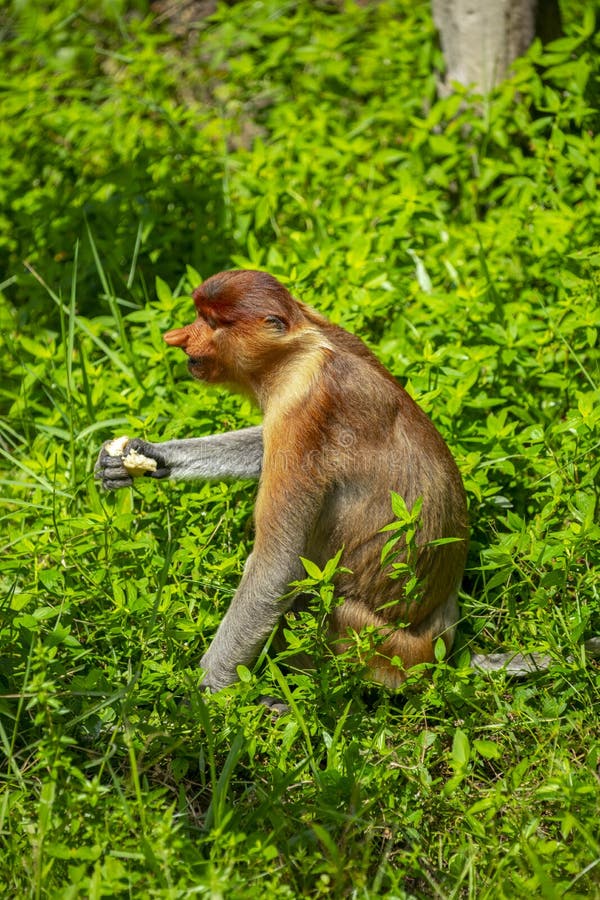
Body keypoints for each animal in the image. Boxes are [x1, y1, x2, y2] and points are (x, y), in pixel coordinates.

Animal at [95, 270, 599, 690]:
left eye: (213, 322)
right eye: (199, 315)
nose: (177, 338)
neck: (301, 346)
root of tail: (441, 650)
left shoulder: (304, 410)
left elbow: (276, 568)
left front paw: (204, 702)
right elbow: (262, 449)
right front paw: (138, 457)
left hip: (373, 644)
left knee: (312, 596)